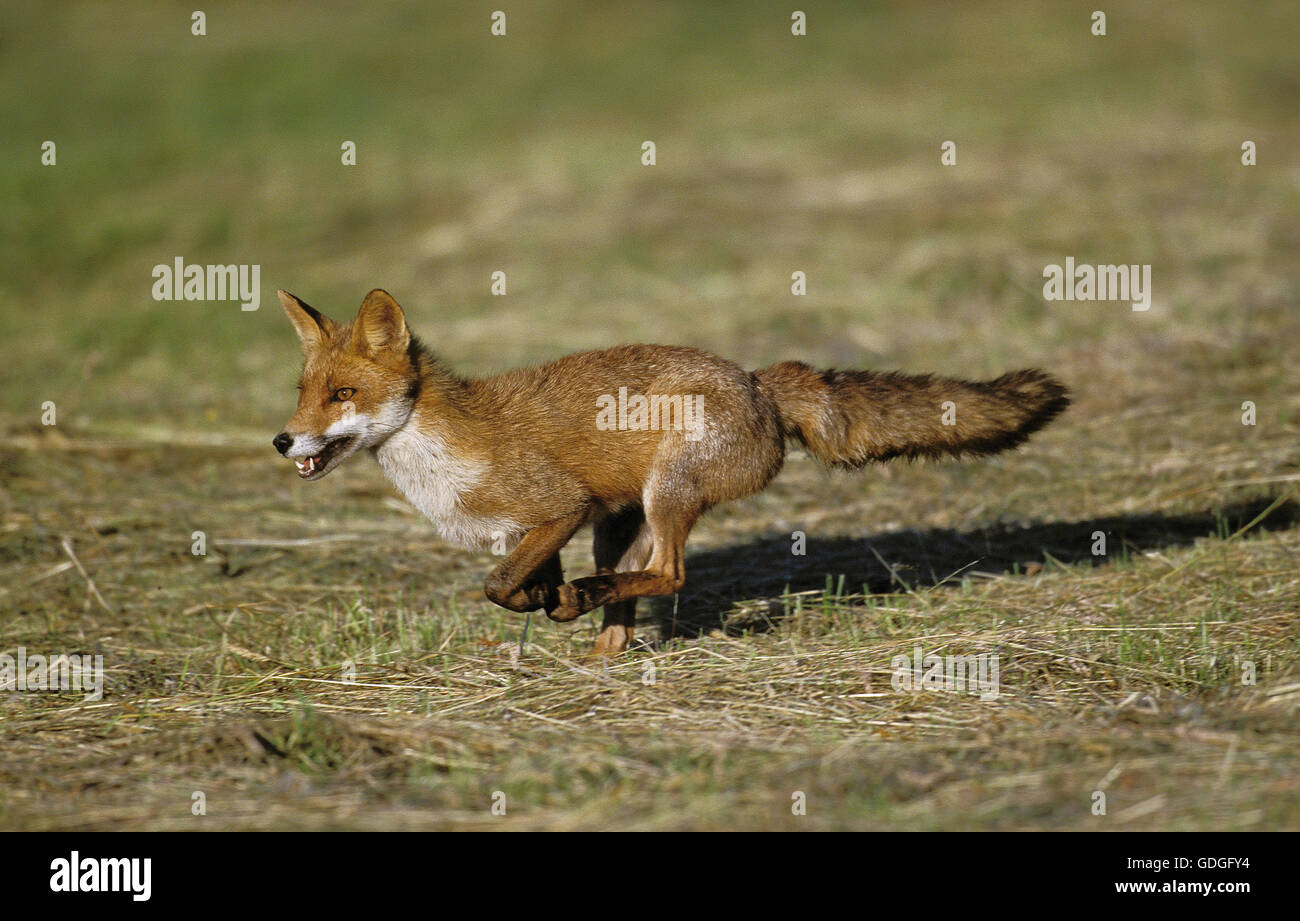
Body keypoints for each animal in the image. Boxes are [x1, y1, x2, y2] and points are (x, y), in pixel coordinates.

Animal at [273, 288, 1070, 658]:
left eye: (343, 394)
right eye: (304, 391)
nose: (283, 440)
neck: (444, 454)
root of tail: (758, 381)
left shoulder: (559, 506)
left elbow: (498, 584)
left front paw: (544, 600)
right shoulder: (553, 526)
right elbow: (521, 580)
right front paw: (549, 601)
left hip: (667, 494)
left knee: (671, 574)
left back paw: (588, 602)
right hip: (622, 523)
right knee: (634, 595)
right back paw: (597, 643)